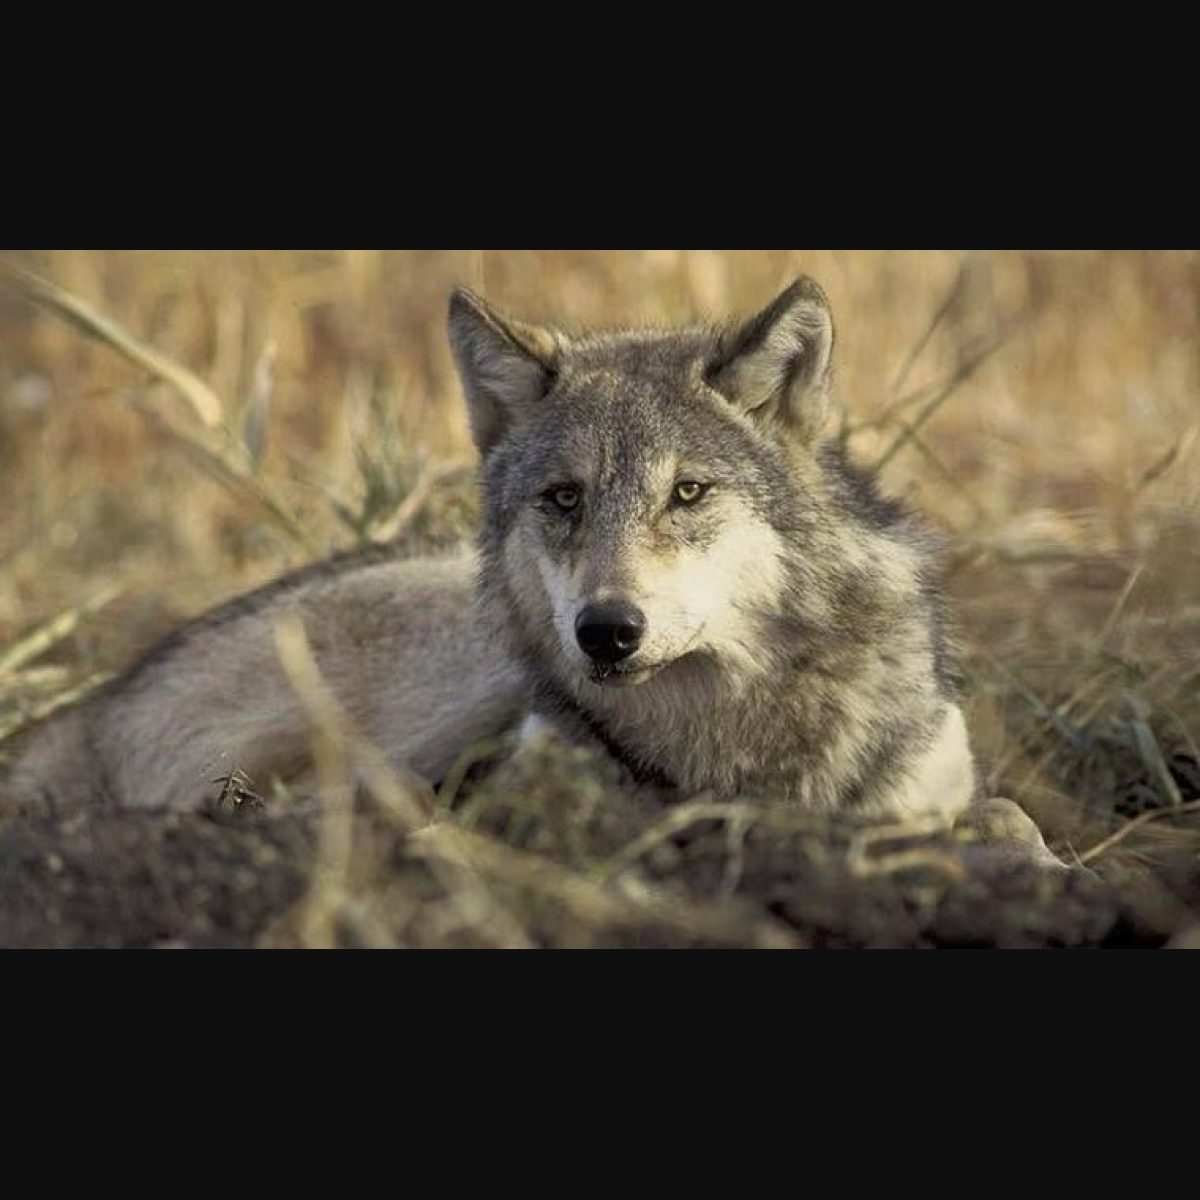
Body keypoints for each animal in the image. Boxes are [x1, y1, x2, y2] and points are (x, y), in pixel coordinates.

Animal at [9, 278, 980, 824]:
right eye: (564, 498)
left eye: (688, 493)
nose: (607, 632)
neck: (729, 742)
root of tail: (93, 706)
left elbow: (995, 816)